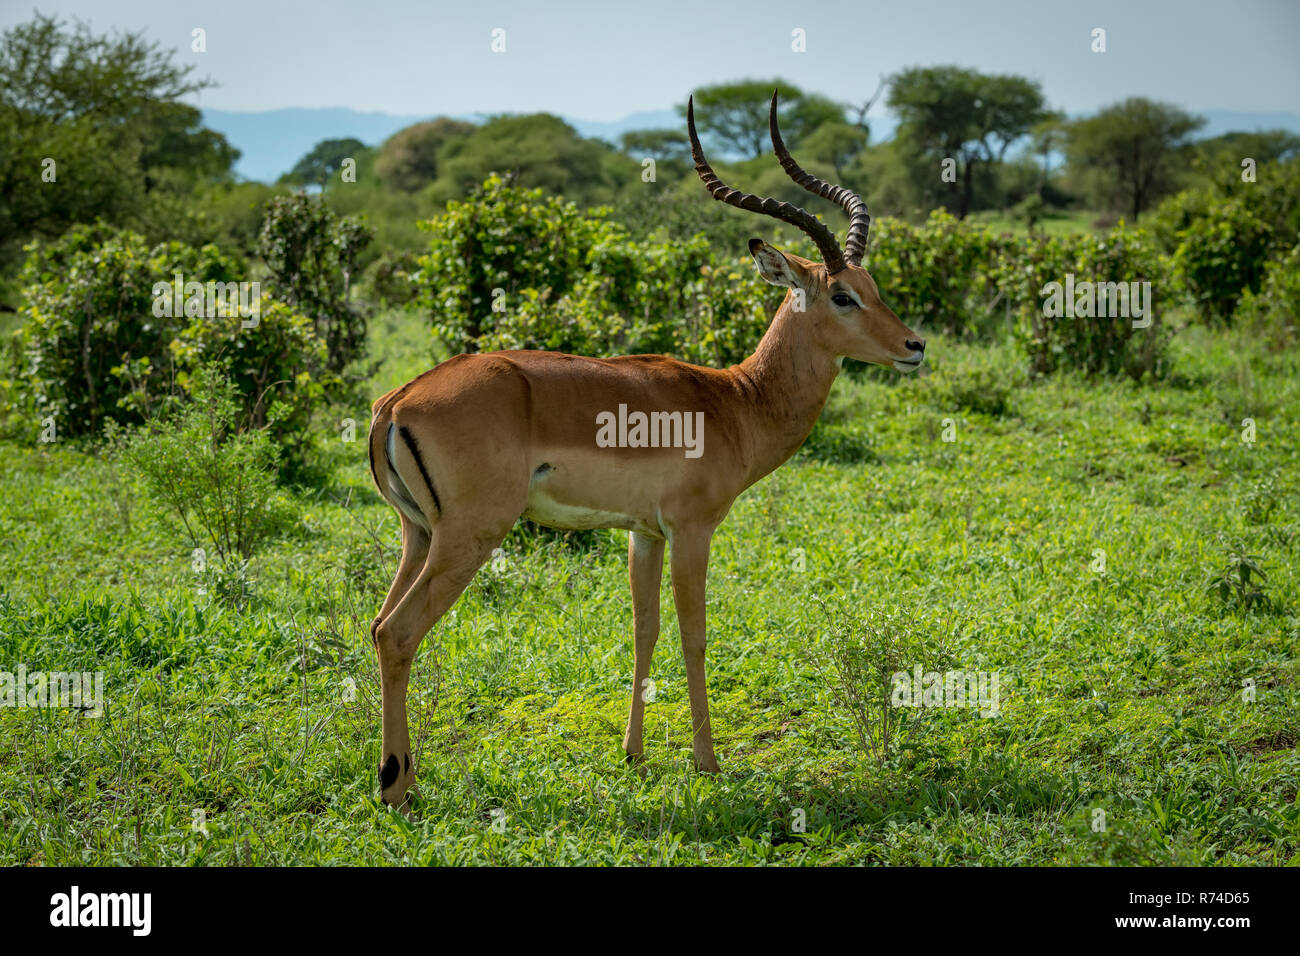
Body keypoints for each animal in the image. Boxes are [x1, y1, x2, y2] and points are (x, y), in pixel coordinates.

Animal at [367, 91, 925, 809]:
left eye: (873, 284)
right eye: (842, 294)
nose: (913, 346)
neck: (733, 400)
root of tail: (396, 402)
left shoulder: (643, 533)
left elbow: (643, 628)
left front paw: (633, 753)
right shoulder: (692, 529)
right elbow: (694, 633)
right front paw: (708, 762)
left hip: (416, 534)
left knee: (378, 626)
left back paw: (403, 775)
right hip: (470, 536)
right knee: (399, 632)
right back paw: (396, 789)